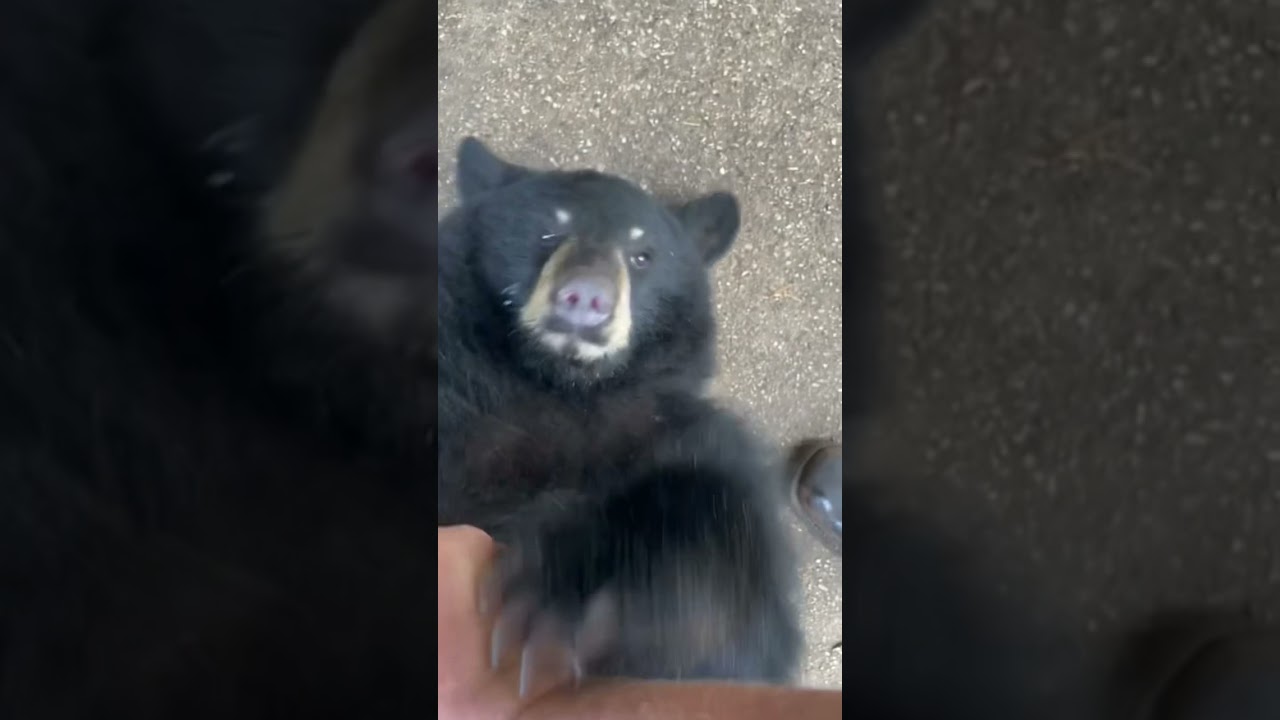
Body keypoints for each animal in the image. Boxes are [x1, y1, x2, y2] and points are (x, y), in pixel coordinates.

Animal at [436, 137, 803, 685]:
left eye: (642, 254)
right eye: (549, 230)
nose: (587, 295)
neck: (564, 385)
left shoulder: (664, 427)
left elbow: (731, 583)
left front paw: (559, 594)